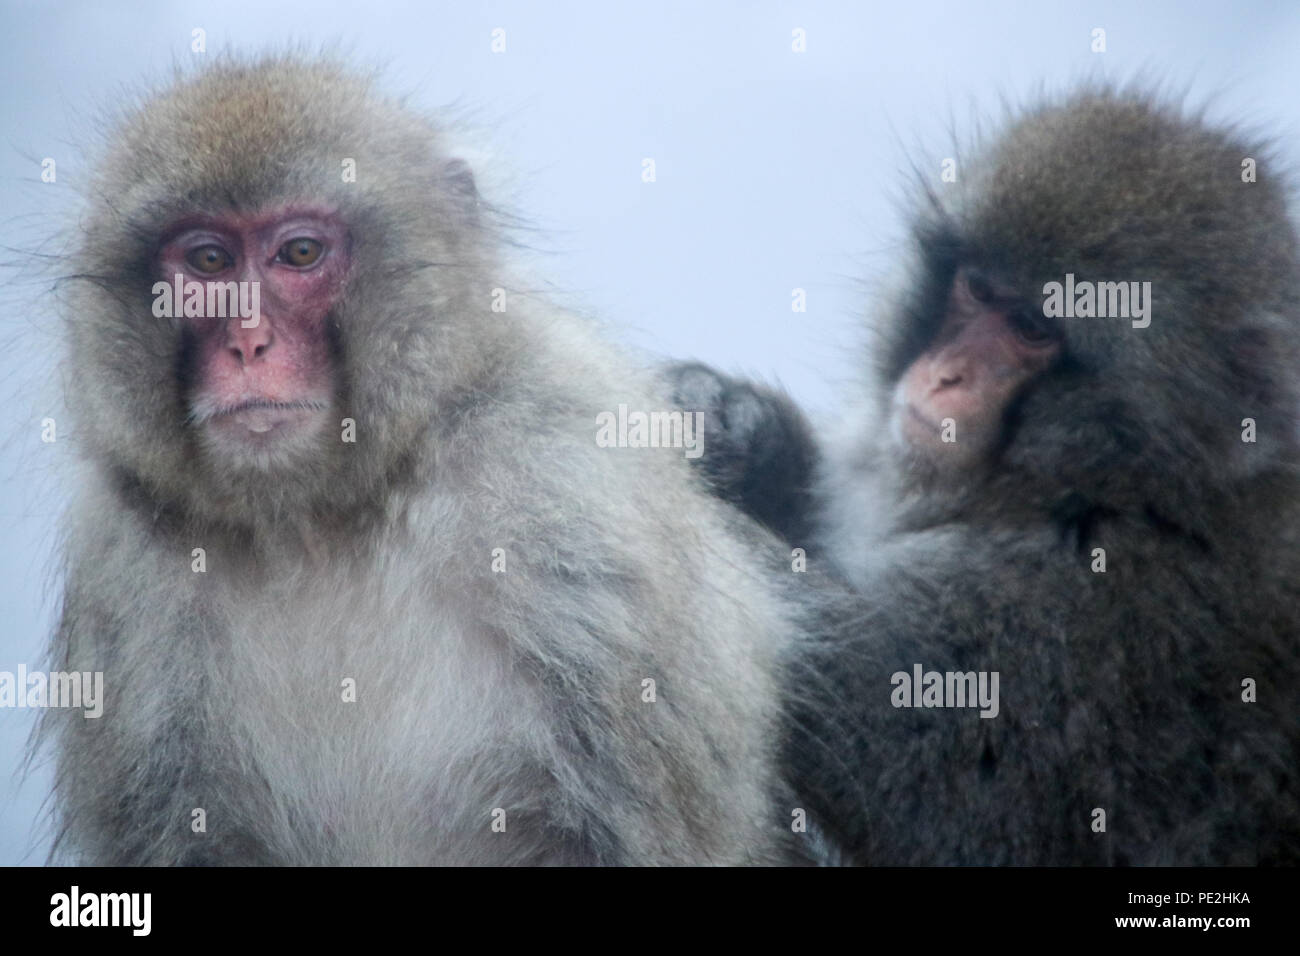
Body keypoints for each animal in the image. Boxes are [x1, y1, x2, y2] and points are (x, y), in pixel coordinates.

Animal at [38, 54, 822, 866]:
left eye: (300, 253)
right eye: (209, 260)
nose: (249, 343)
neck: (329, 517)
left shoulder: (565, 481)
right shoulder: (124, 562)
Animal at [671, 89, 1300, 864]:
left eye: (1034, 328)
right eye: (976, 289)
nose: (946, 375)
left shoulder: (1109, 608)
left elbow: (951, 798)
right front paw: (735, 425)